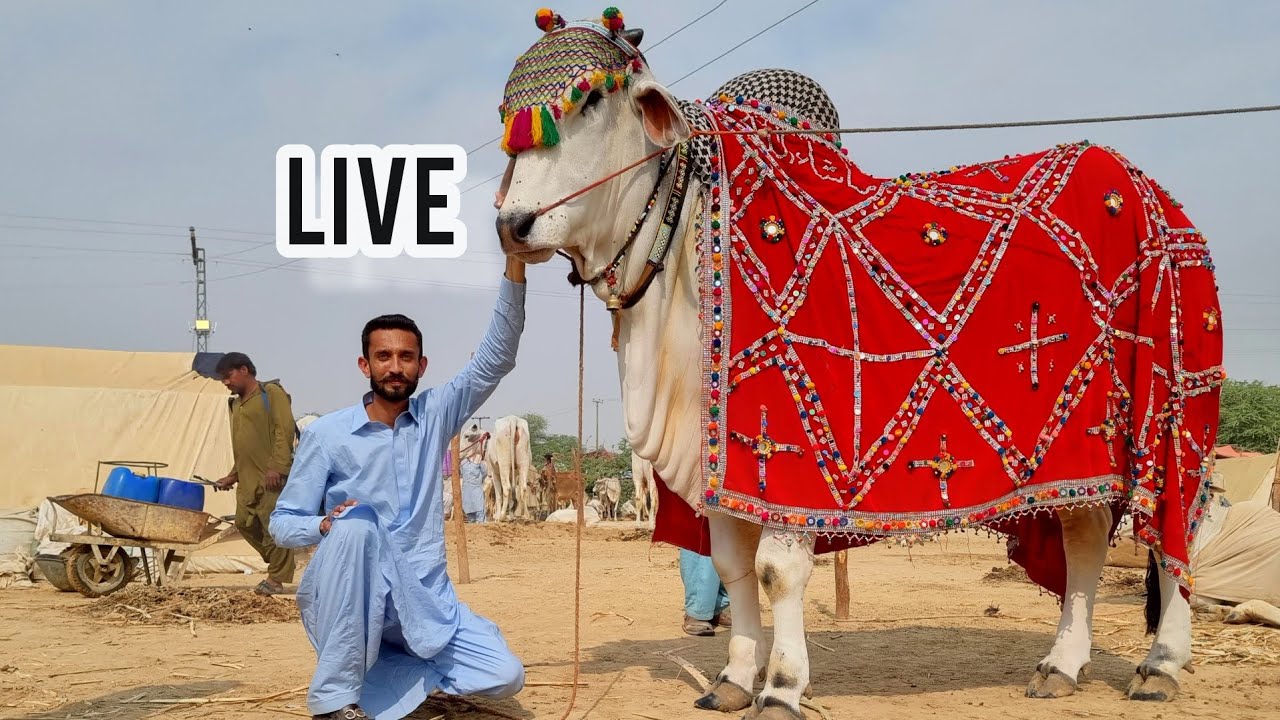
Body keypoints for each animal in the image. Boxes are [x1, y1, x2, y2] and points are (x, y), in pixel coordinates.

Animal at [493, 11, 1219, 717]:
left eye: (589, 100)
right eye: (510, 121)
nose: (514, 223)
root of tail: (1151, 190)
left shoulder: (786, 462)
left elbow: (775, 571)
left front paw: (782, 688)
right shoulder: (719, 463)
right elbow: (731, 566)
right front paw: (733, 679)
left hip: (1173, 418)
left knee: (1175, 535)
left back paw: (1161, 664)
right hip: (1083, 451)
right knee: (1085, 535)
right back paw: (1062, 665)